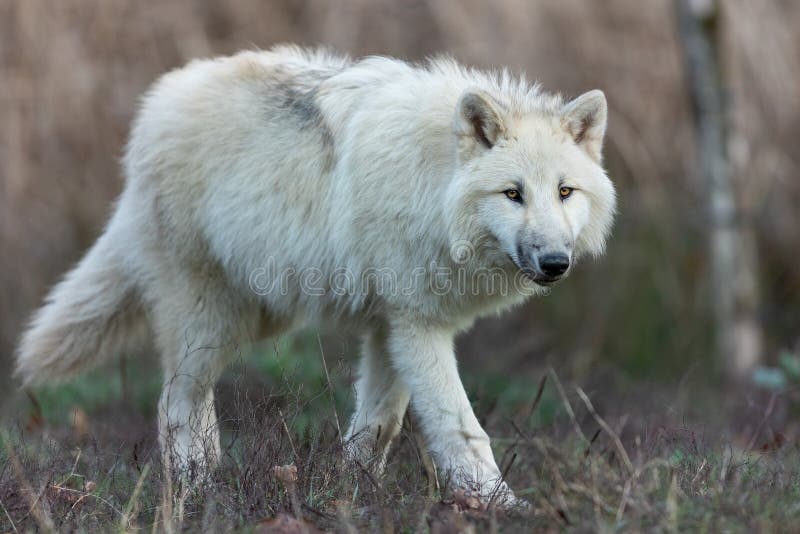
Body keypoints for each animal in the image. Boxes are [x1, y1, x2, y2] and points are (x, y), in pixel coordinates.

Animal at [15, 45, 615, 504]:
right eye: (513, 194)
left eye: (565, 191)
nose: (555, 263)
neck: (433, 182)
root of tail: (156, 105)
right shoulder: (417, 326)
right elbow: (462, 428)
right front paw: (499, 506)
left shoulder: (391, 328)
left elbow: (378, 425)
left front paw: (353, 492)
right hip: (209, 321)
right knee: (173, 404)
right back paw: (194, 490)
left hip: (252, 319)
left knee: (188, 401)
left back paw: (212, 480)